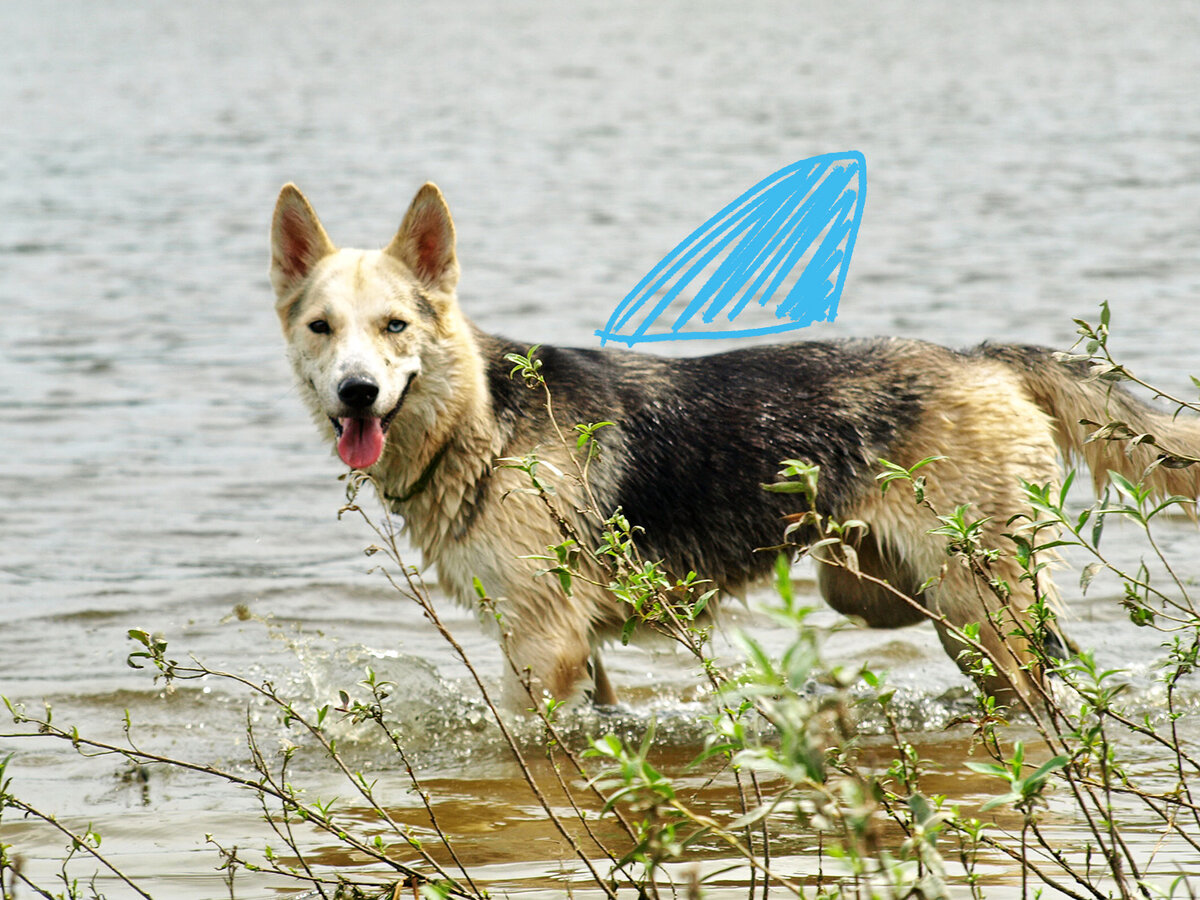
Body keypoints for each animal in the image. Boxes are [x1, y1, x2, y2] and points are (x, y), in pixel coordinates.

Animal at [270, 181, 1200, 710]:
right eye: (322, 330)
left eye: (394, 327)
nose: (356, 393)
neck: (481, 423)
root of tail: (979, 356)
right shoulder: (575, 651)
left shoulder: (541, 648)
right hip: (880, 589)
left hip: (975, 604)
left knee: (1038, 681)